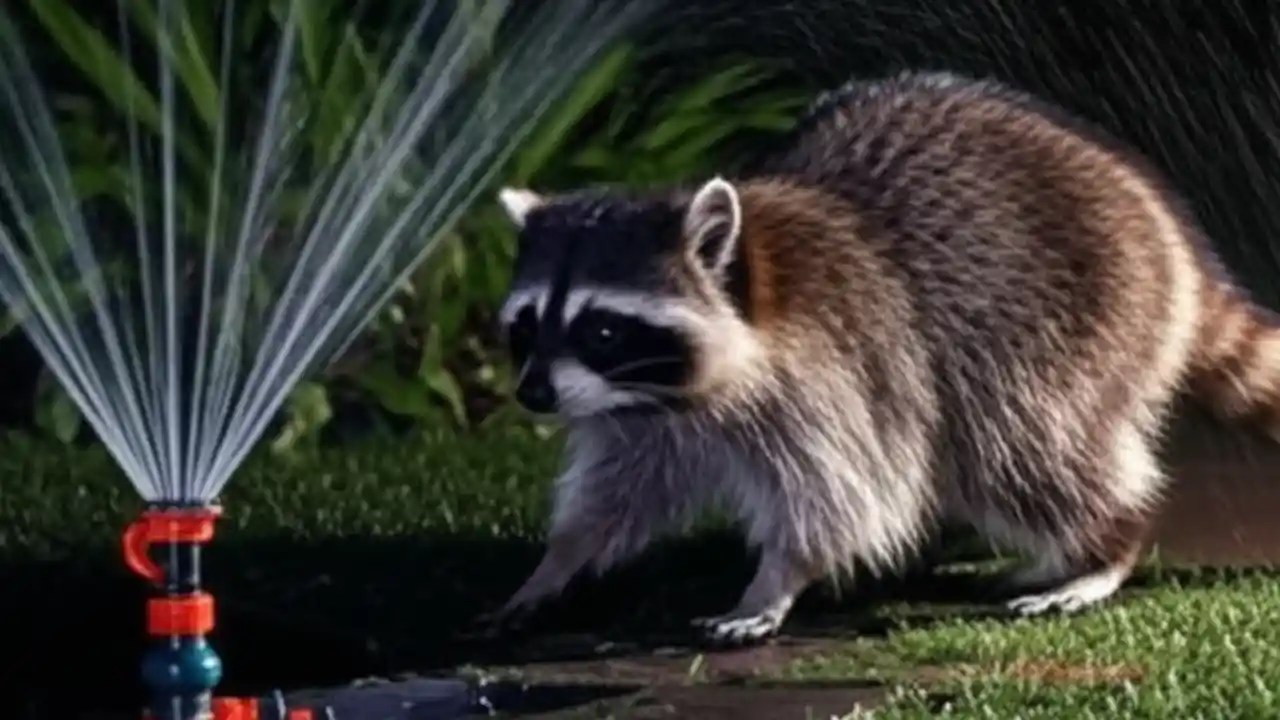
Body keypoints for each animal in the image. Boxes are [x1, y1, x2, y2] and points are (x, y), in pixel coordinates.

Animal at [482, 71, 1280, 645]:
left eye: (602, 330)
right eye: (526, 325)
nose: (533, 396)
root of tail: (1173, 237)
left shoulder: (838, 368)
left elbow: (844, 490)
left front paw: (778, 578)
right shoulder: (648, 415)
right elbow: (618, 490)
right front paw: (557, 563)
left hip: (1078, 318)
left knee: (1021, 446)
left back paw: (1105, 548)